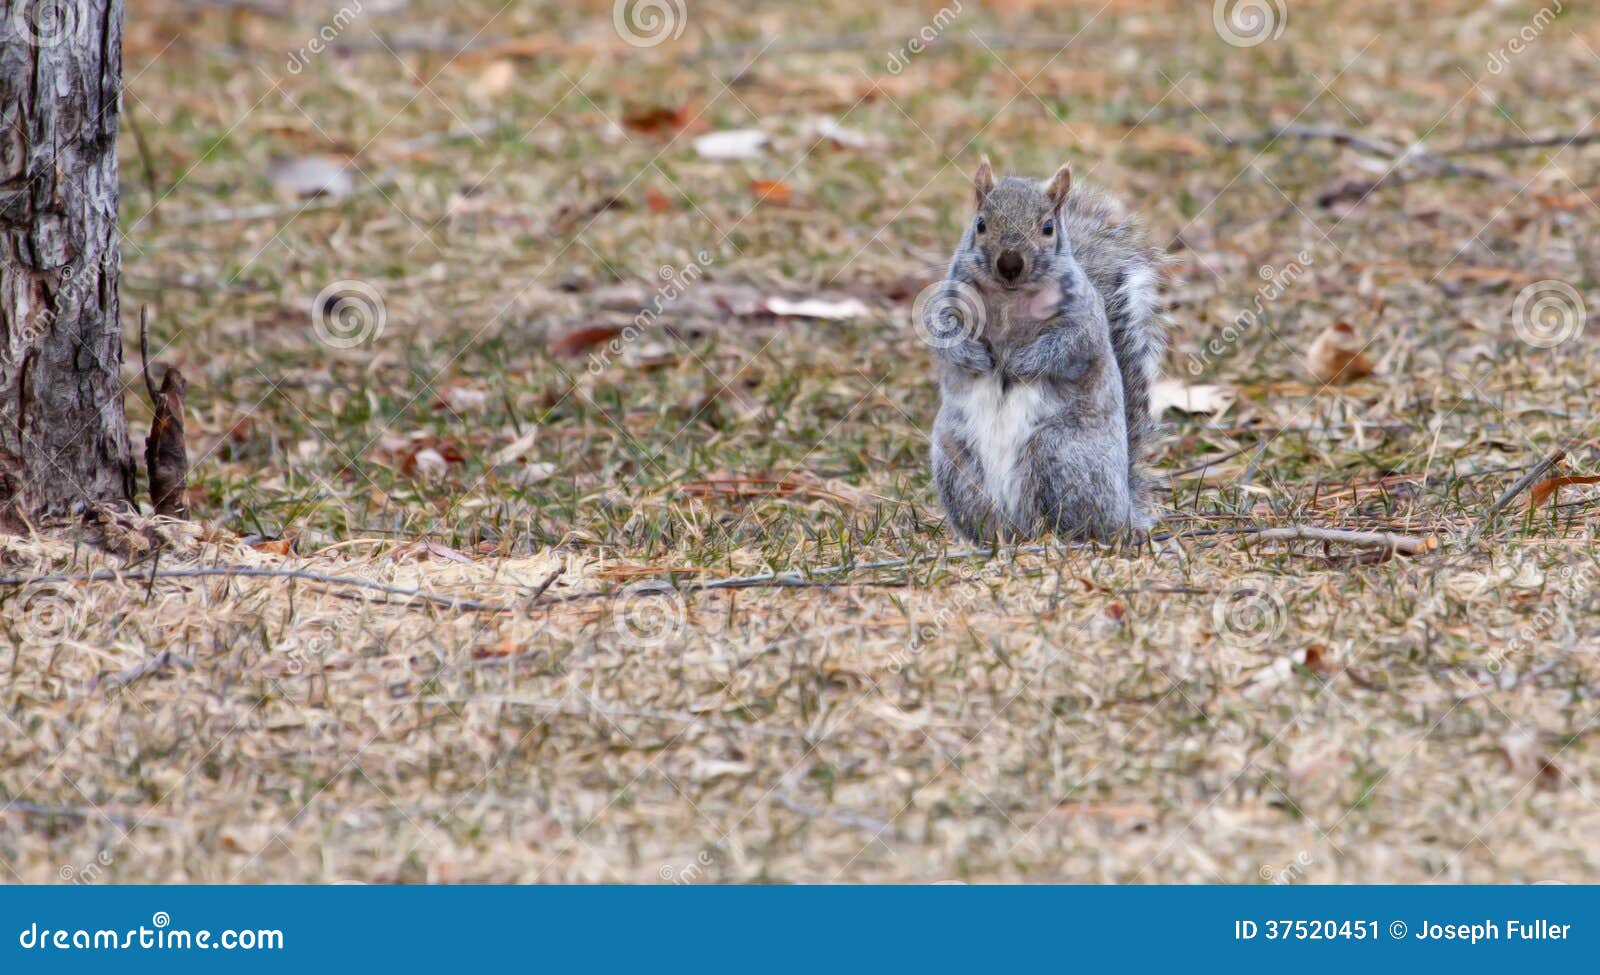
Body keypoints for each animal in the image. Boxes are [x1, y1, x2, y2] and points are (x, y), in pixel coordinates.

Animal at [927, 157, 1165, 543]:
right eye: (980, 223)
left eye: (1048, 227)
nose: (1010, 263)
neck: (1010, 297)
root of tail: (1124, 510)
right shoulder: (949, 300)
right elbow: (942, 332)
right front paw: (974, 357)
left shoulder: (1083, 321)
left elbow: (1067, 345)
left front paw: (1019, 364)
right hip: (955, 460)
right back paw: (993, 538)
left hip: (1059, 453)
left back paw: (1054, 536)